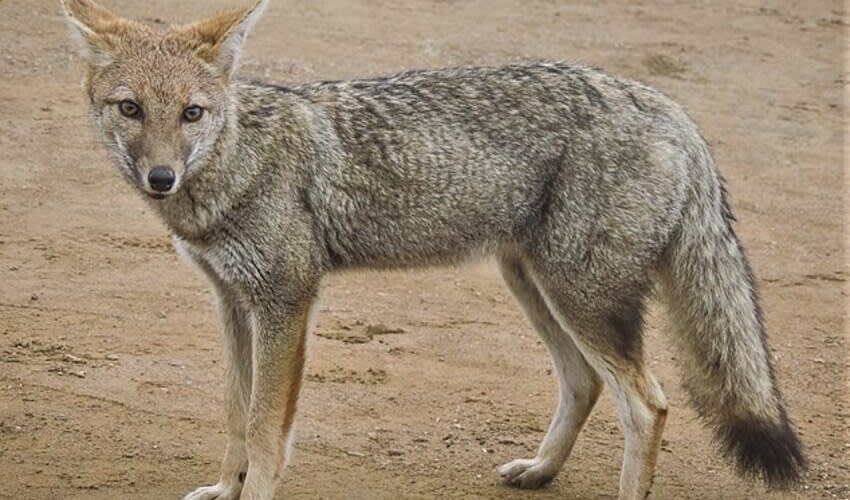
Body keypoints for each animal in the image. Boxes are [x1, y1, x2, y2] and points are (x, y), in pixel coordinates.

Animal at [61, 0, 805, 499]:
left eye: (192, 113)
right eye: (130, 109)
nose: (161, 177)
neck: (239, 162)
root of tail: (665, 104)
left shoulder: (286, 302)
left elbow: (267, 429)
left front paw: (254, 492)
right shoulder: (232, 304)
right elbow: (233, 416)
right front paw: (224, 488)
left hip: (580, 299)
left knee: (647, 404)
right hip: (535, 286)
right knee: (585, 381)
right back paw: (539, 470)